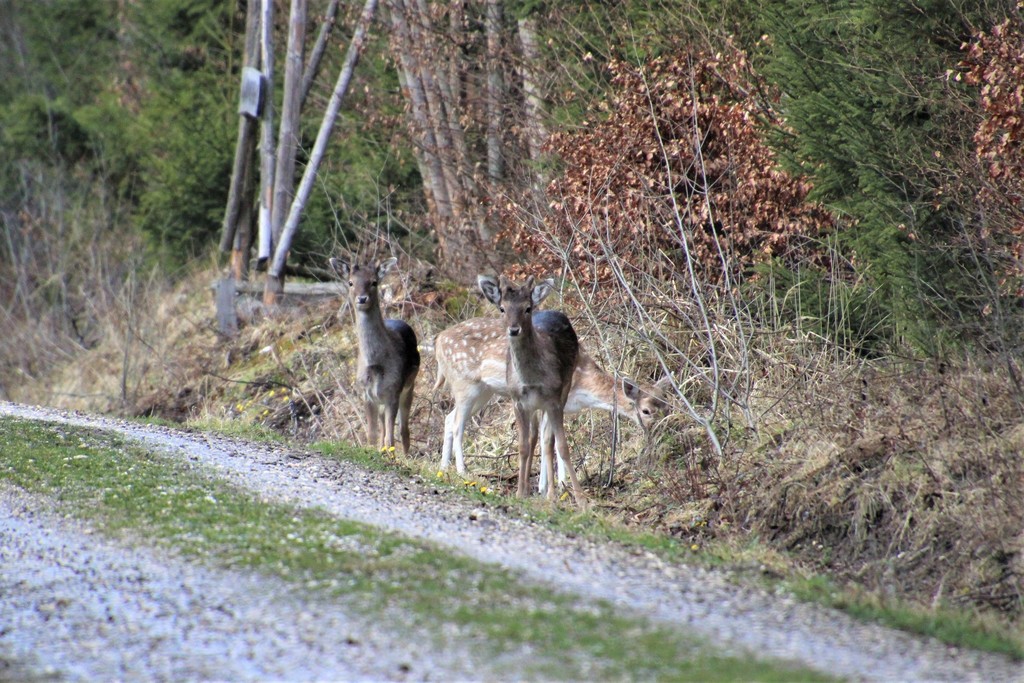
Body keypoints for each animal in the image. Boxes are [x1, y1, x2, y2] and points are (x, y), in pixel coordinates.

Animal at [330, 255, 420, 456]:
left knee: (404, 429)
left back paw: (405, 455)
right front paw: (373, 452)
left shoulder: (393, 391)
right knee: (384, 429)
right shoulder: (366, 394)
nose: (362, 298)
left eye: (374, 282)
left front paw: (391, 456)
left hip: (409, 385)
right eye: (350, 282)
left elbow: (390, 436)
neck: (375, 364)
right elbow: (372, 435)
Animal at [476, 274, 587, 506]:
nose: (513, 329)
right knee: (535, 437)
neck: (532, 379)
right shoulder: (517, 401)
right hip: (534, 406)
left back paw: (551, 493)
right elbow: (523, 446)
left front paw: (582, 500)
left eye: (527, 308)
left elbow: (562, 446)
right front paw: (519, 492)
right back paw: (533, 488)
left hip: (564, 388)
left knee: (547, 441)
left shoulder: (554, 400)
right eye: (502, 308)